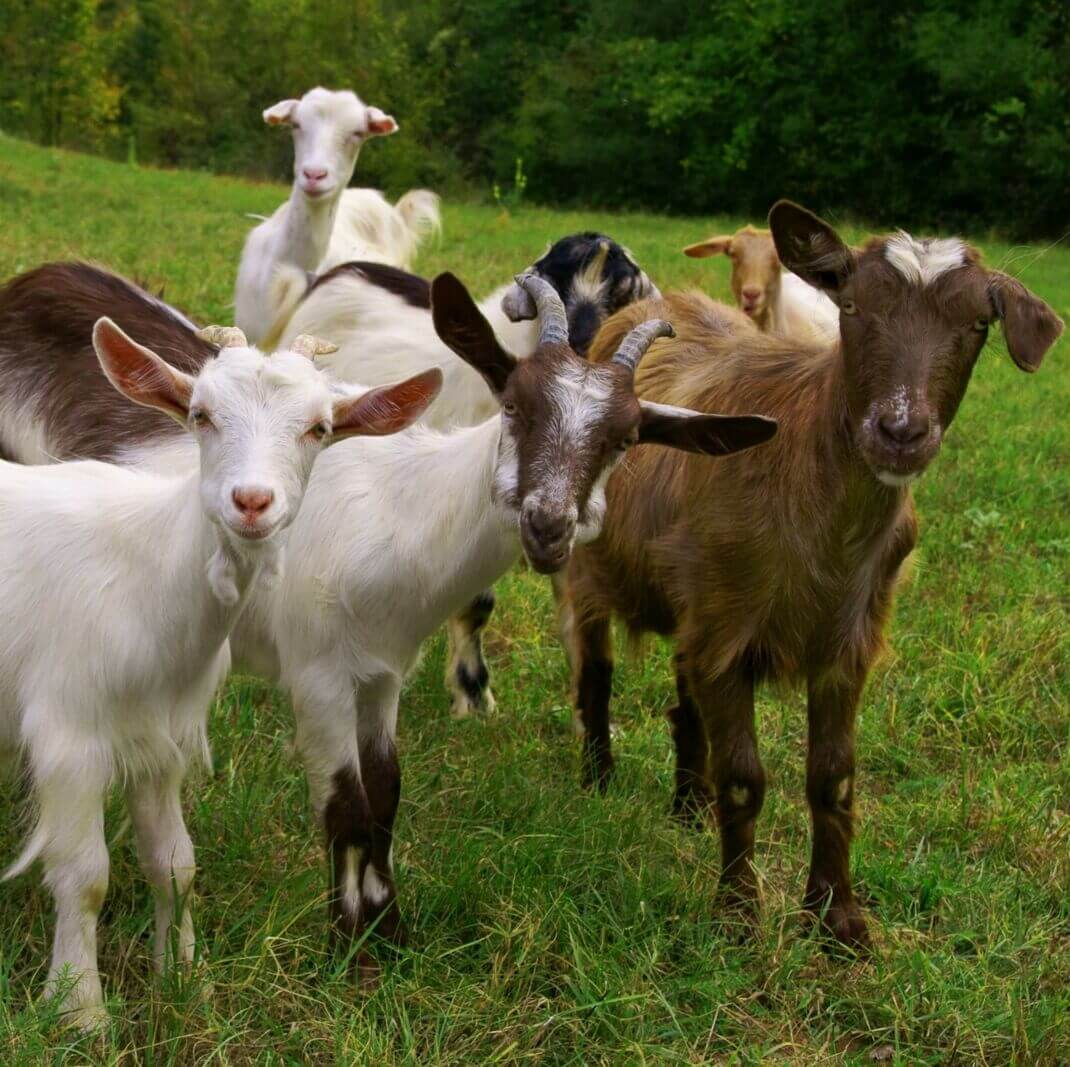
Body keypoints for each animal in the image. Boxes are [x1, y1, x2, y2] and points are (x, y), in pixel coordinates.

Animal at [0, 319, 441, 1028]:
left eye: (319, 427)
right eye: (200, 415)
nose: (252, 501)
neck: (146, 570)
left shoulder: (158, 738)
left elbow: (175, 864)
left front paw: (186, 982)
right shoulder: (70, 734)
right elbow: (84, 874)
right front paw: (82, 1012)